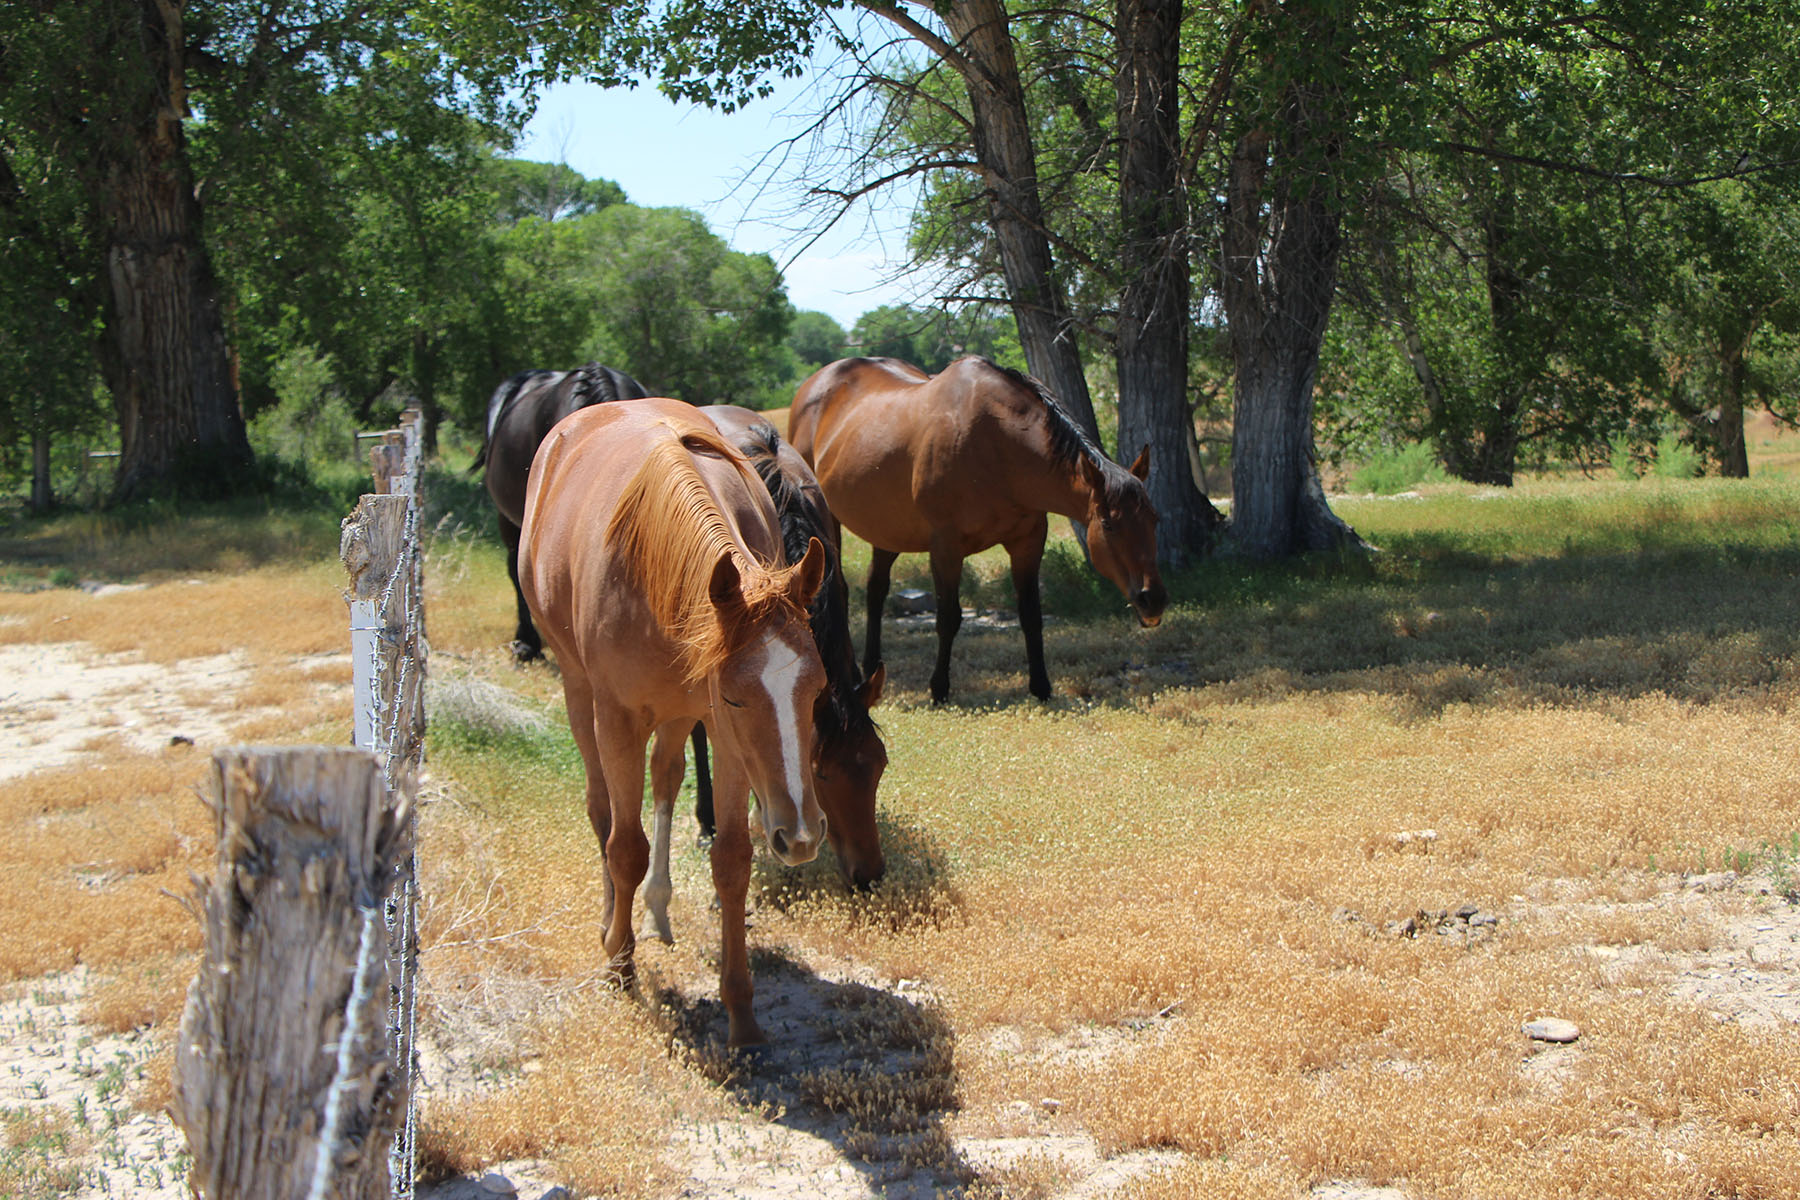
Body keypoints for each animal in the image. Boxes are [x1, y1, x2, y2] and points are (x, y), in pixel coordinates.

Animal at [519, 396, 828, 1047]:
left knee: (664, 779)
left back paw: (657, 908)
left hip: (677, 714)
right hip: (579, 689)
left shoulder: (723, 737)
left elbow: (731, 860)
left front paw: (742, 1014)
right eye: (737, 698)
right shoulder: (624, 718)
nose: (802, 835)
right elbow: (624, 846)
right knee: (602, 811)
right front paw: (619, 961)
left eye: (817, 691)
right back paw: (613, 919)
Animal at [788, 355, 1167, 703]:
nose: (1154, 600)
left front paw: (1041, 686)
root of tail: (815, 383)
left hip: (887, 526)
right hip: (829, 519)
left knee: (876, 588)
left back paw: (871, 667)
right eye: (1108, 524)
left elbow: (1031, 615)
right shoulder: (946, 548)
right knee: (839, 588)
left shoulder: (1028, 542)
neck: (998, 445)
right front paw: (939, 689)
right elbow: (948, 617)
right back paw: (852, 673)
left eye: (1154, 519)